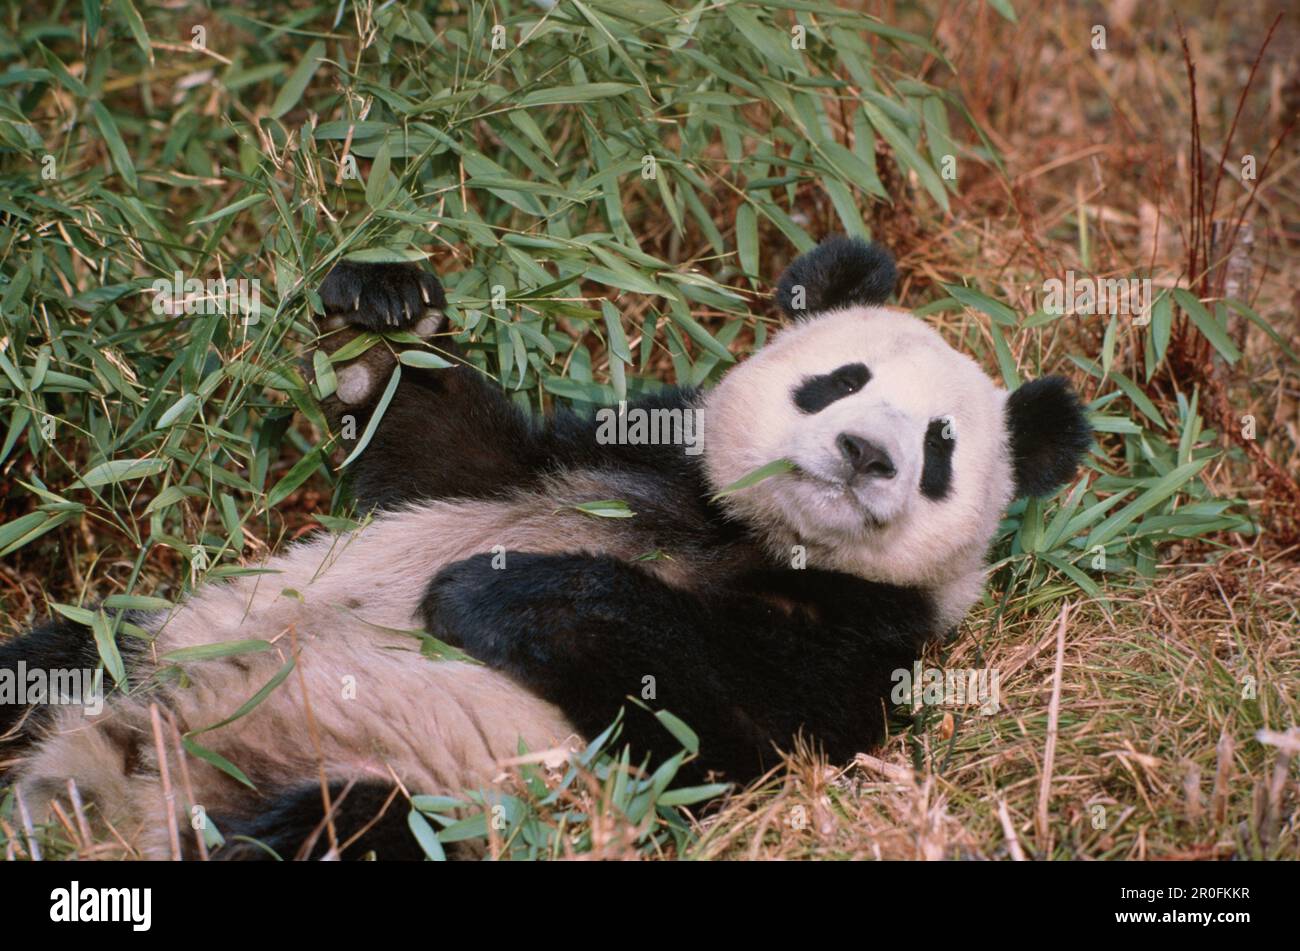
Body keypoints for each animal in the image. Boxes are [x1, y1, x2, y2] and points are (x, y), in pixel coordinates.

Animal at [0, 236, 1091, 860]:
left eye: (940, 446)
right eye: (840, 380)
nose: (866, 453)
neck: (755, 538)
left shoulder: (867, 643)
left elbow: (720, 721)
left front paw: (500, 594)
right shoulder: (608, 455)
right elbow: (443, 456)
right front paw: (381, 310)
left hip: (428, 797)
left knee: (344, 832)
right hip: (148, 643)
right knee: (52, 659)